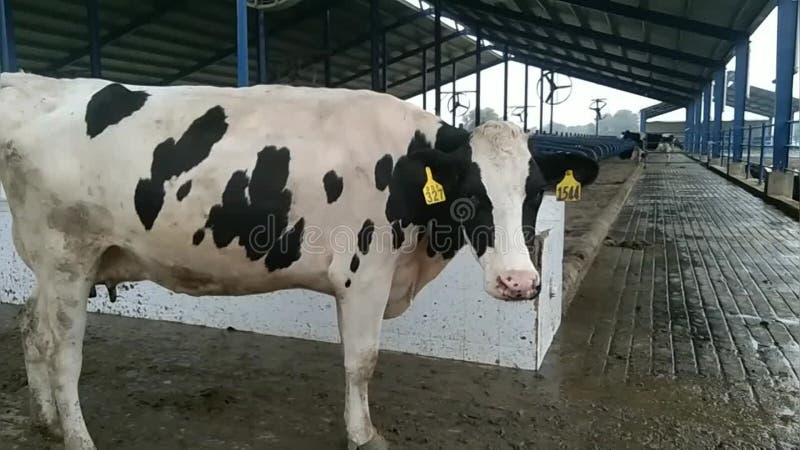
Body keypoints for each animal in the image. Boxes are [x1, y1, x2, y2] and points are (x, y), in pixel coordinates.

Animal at [0, 72, 598, 450]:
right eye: (469, 195)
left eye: (535, 193)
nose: (519, 281)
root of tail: (37, 85)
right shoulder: (365, 272)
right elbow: (362, 361)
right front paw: (363, 435)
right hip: (67, 256)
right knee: (62, 352)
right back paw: (78, 437)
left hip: (57, 265)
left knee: (31, 327)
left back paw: (46, 422)